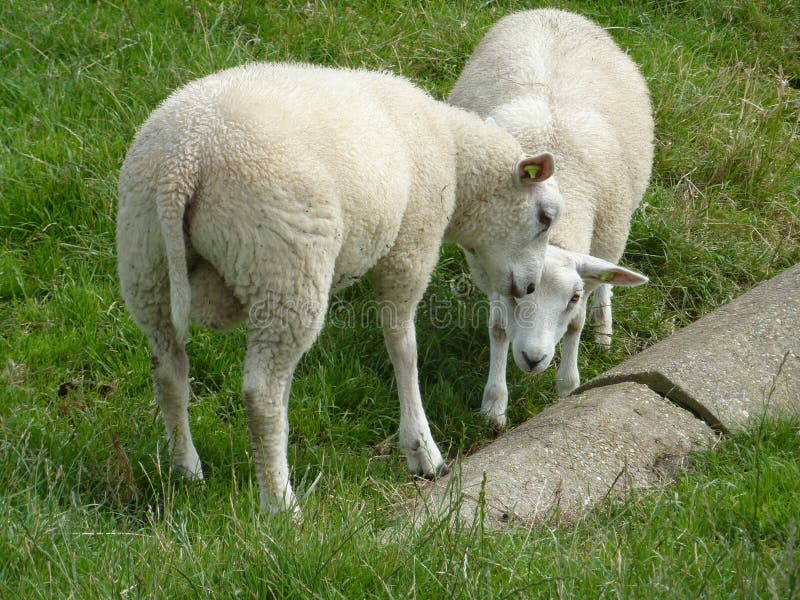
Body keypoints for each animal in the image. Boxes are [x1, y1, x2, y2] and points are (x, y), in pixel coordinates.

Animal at [117, 61, 563, 515]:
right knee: (261, 395)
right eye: (545, 217)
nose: (529, 287)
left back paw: (188, 470)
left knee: (170, 373)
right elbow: (403, 347)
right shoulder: (409, 248)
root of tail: (184, 161)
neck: (454, 159)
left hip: (145, 261)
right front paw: (422, 450)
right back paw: (281, 504)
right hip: (284, 266)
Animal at [448, 9, 654, 427]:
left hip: (613, 233)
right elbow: (498, 330)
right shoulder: (492, 271)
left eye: (571, 296)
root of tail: (553, 13)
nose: (533, 359)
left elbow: (575, 322)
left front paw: (567, 387)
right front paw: (494, 406)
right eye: (519, 296)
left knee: (607, 276)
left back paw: (604, 327)